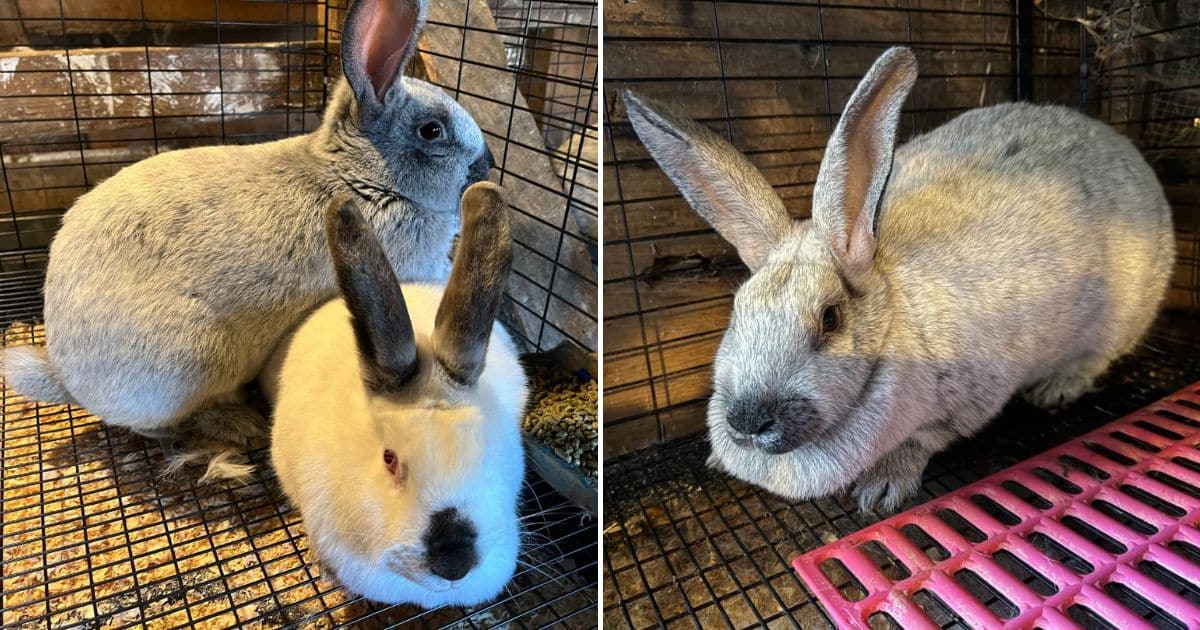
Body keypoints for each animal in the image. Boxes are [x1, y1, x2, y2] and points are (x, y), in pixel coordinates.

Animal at [1, 0, 496, 448]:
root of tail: (68, 382)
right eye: (432, 131)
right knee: (156, 426)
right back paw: (235, 426)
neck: (359, 177)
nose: (487, 166)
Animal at [623, 46, 1175, 513]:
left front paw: (883, 488)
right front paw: (718, 459)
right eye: (737, 309)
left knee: (1096, 357)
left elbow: (919, 442)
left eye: (830, 318)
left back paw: (1055, 390)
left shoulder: (967, 401)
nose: (745, 424)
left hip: (1119, 320)